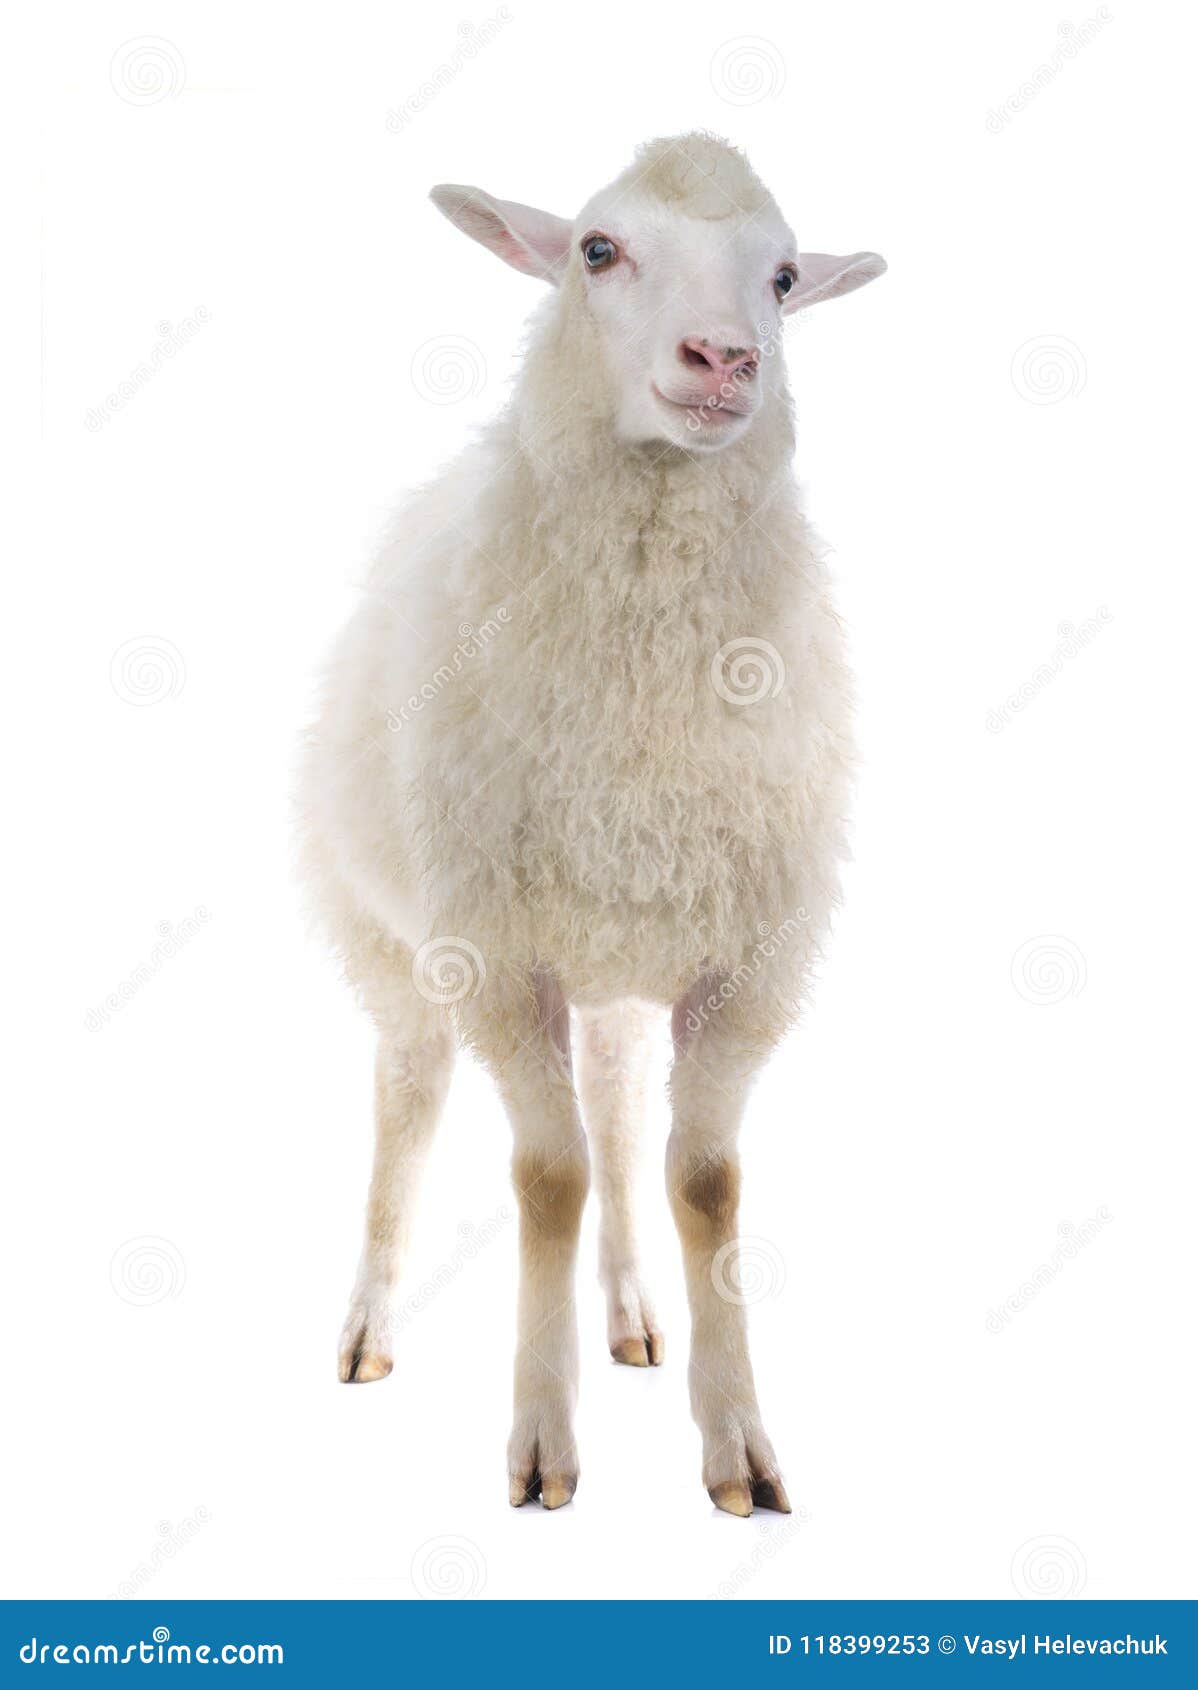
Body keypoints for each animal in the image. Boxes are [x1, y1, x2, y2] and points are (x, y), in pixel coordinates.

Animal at [298, 132, 885, 1515]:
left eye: (785, 276)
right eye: (596, 250)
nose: (723, 358)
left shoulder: (746, 965)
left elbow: (701, 1180)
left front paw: (737, 1444)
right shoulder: (498, 957)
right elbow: (545, 1176)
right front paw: (540, 1442)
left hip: (617, 960)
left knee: (618, 1121)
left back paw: (628, 1311)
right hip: (393, 945)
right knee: (409, 1105)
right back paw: (369, 1324)